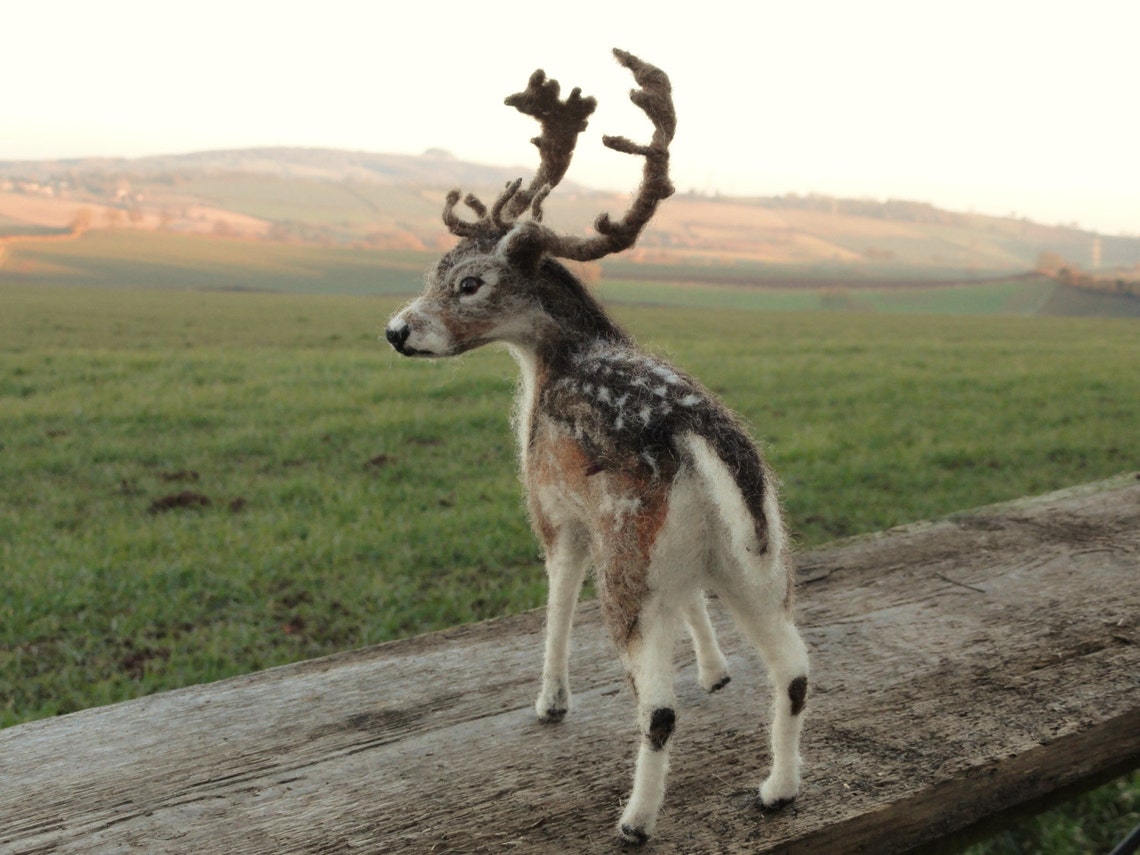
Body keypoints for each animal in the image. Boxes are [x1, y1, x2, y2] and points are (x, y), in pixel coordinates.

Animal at [384, 48, 809, 845]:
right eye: (433, 269)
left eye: (469, 281)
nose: (396, 331)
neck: (553, 363)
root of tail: (699, 437)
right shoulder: (683, 572)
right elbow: (691, 606)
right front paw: (714, 669)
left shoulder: (554, 508)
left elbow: (554, 599)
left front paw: (549, 700)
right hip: (757, 562)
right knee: (796, 670)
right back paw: (777, 789)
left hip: (627, 558)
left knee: (659, 707)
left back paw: (635, 821)